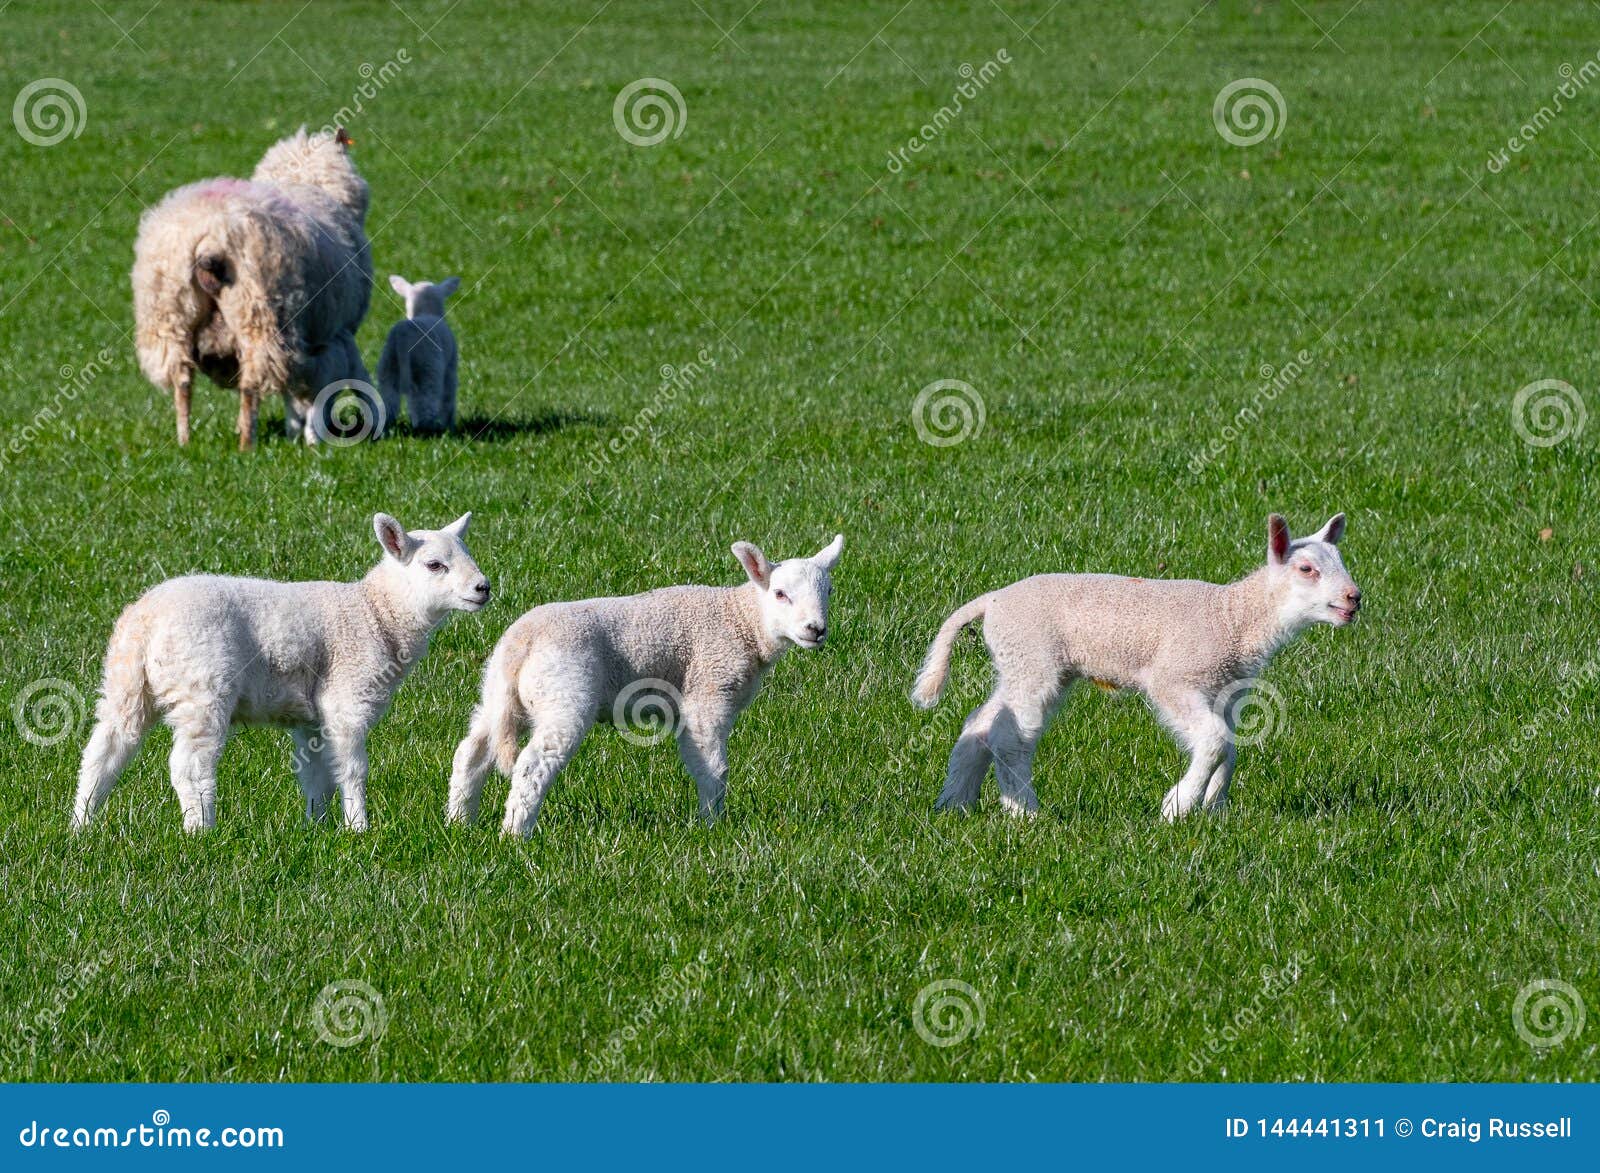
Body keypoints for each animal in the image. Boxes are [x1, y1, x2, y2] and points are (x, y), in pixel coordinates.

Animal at [72, 513, 490, 833]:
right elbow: (353, 770)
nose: (483, 588)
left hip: (125, 680)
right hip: (201, 685)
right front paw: (359, 829)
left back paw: (82, 824)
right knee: (189, 765)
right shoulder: (347, 699)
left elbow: (317, 775)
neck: (377, 613)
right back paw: (200, 831)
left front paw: (317, 828)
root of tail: (146, 619)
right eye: (434, 565)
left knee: (104, 750)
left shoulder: (313, 718)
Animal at [131, 126, 373, 450]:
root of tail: (210, 238)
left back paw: (185, 440)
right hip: (259, 315)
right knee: (250, 384)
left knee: (182, 380)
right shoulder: (329, 334)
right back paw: (247, 444)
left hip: (169, 316)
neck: (305, 182)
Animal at [377, 274, 460, 434]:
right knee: (426, 401)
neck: (426, 311)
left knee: (389, 400)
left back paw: (386, 426)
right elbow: (448, 397)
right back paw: (427, 429)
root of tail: (403, 333)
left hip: (388, 365)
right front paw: (450, 424)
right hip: (428, 368)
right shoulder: (450, 369)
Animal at [447, 534, 845, 835]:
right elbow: (712, 767)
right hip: (564, 690)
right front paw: (712, 825)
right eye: (780, 594)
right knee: (533, 764)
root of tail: (522, 642)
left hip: (499, 694)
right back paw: (515, 834)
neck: (742, 621)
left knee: (471, 752)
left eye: (829, 590)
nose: (816, 629)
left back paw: (459, 822)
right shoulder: (709, 693)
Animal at [911, 514, 1360, 821]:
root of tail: (991, 601)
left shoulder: (1225, 688)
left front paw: (1214, 808)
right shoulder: (1175, 678)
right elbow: (1215, 741)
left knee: (980, 723)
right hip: (1033, 658)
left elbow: (1229, 749)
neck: (1232, 617)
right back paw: (1025, 812)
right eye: (1306, 569)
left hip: (1024, 663)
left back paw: (955, 803)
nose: (1354, 597)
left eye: (1341, 561)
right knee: (1010, 737)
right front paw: (1177, 807)